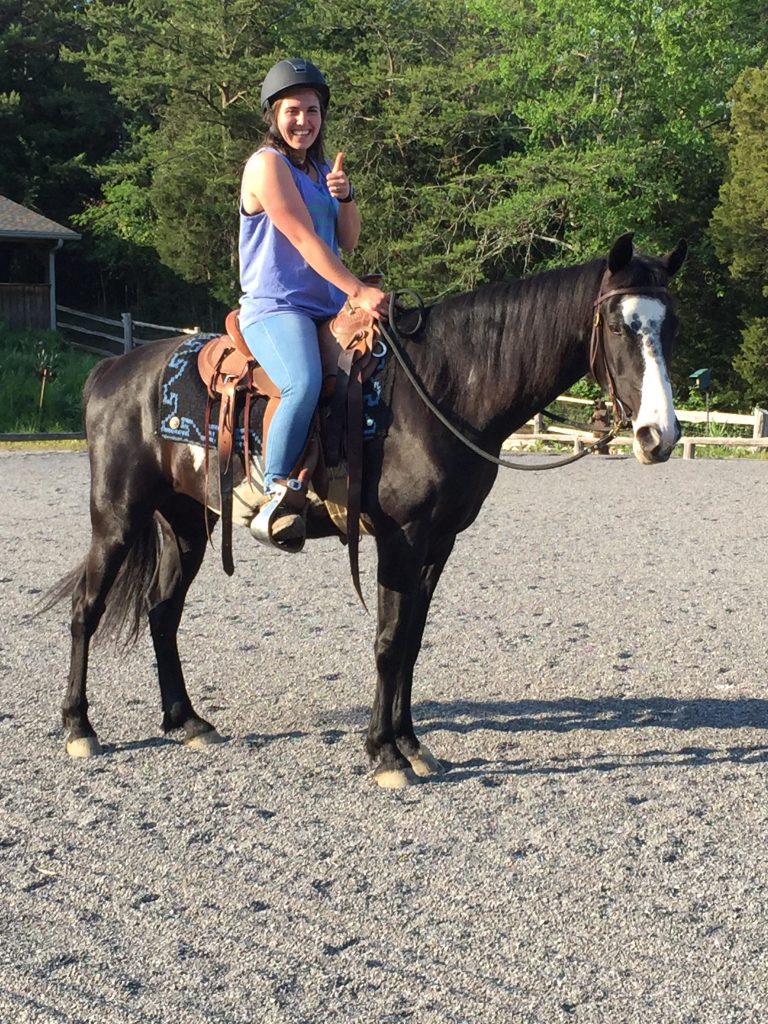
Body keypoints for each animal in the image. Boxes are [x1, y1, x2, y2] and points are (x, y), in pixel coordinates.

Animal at [49, 231, 687, 788]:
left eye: (670, 324)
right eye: (616, 323)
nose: (660, 436)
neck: (442, 391)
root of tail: (112, 371)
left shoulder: (438, 541)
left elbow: (412, 639)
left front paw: (411, 743)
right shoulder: (400, 537)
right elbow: (387, 639)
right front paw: (384, 754)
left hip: (186, 525)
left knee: (163, 613)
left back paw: (186, 720)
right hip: (117, 518)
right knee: (87, 608)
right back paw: (79, 727)